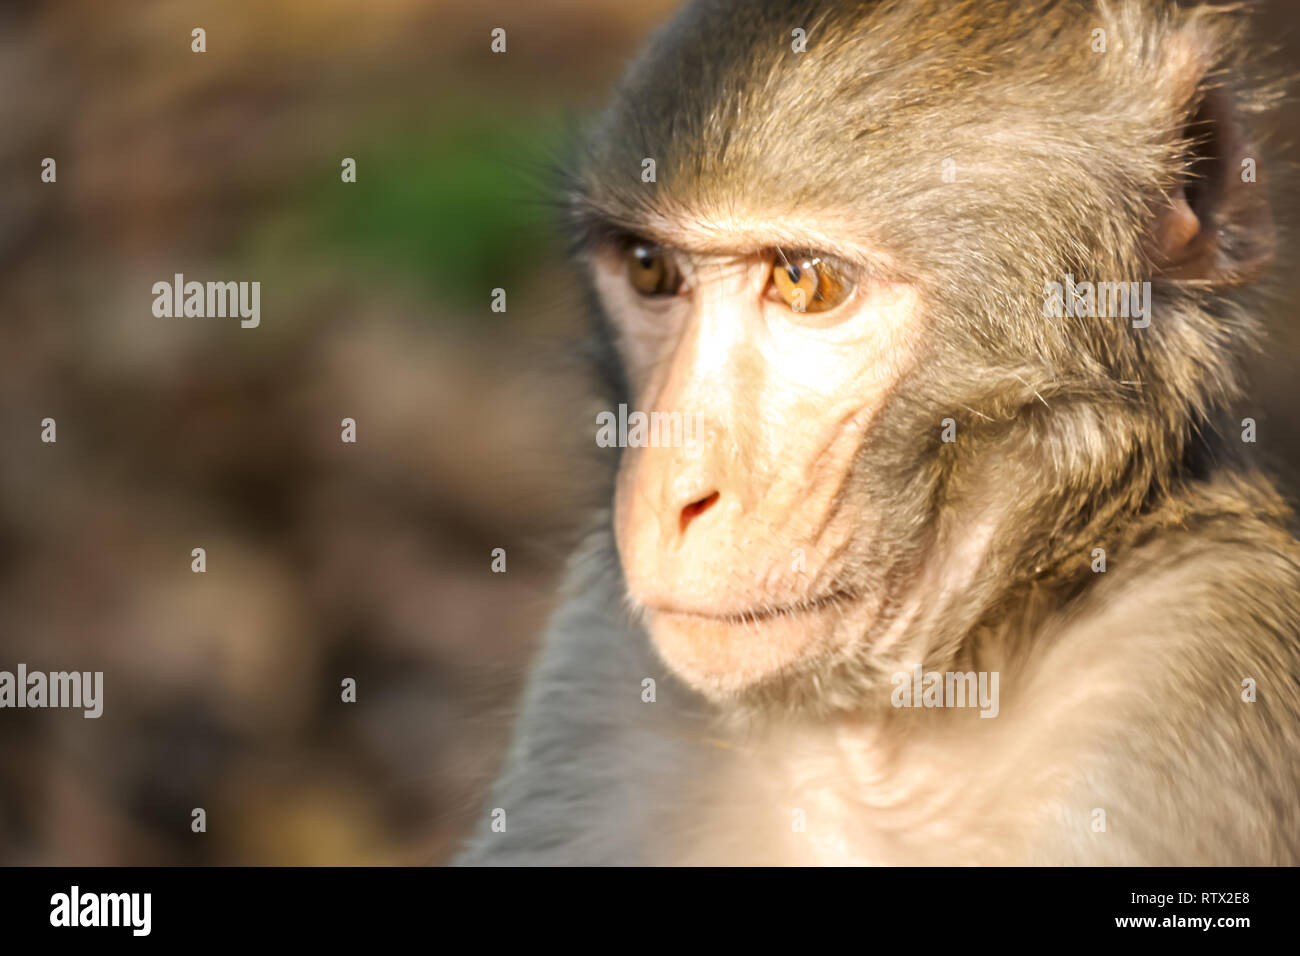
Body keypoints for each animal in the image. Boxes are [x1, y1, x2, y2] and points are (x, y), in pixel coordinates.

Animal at [457, 0, 1300, 865]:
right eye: (649, 267)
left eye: (806, 282)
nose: (668, 495)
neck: (888, 745)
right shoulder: (597, 672)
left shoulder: (1194, 653)